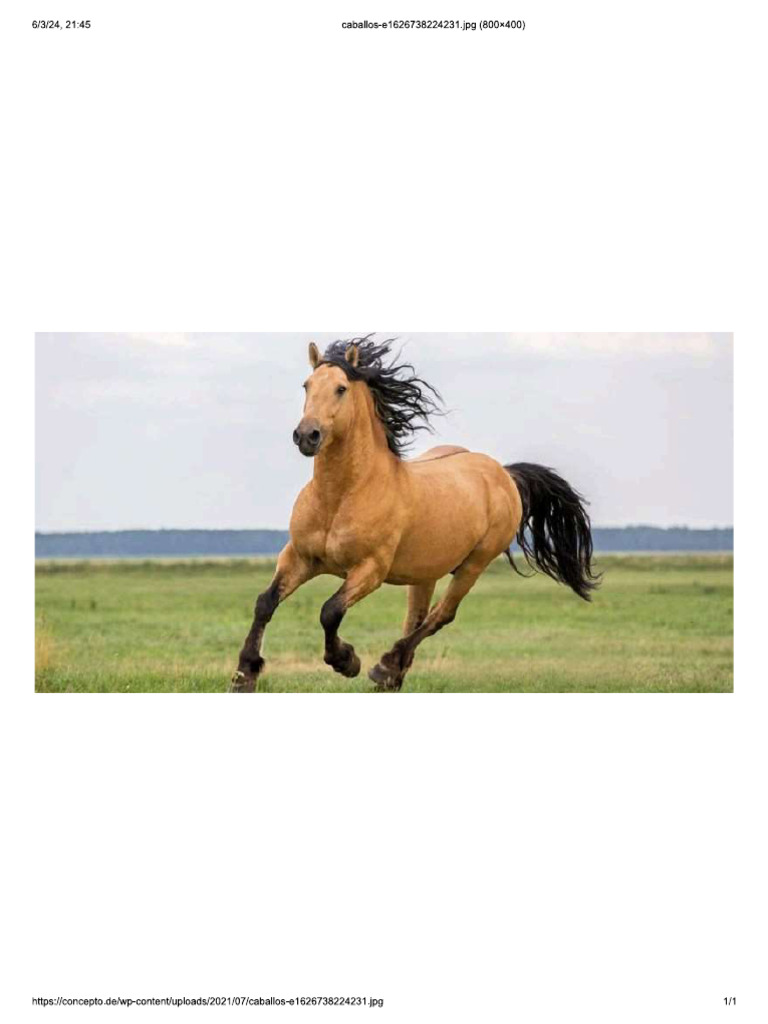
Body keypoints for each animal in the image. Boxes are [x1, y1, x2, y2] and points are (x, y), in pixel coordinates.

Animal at [231, 337, 600, 692]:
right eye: (306, 385)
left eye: (341, 388)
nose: (307, 435)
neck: (342, 496)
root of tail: (504, 474)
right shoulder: (300, 557)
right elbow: (265, 602)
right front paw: (244, 675)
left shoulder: (370, 569)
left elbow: (330, 611)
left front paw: (346, 661)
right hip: (426, 573)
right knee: (417, 618)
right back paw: (392, 677)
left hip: (474, 564)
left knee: (441, 615)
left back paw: (385, 668)